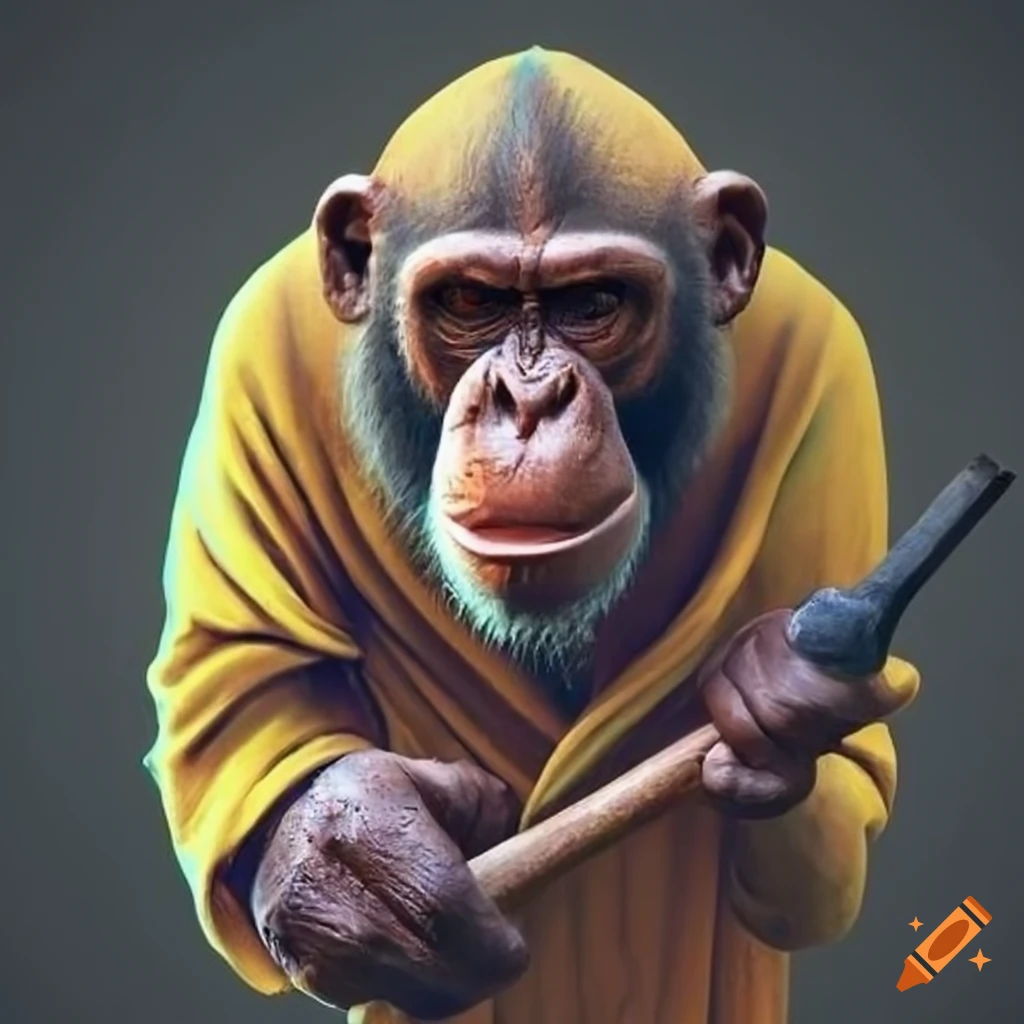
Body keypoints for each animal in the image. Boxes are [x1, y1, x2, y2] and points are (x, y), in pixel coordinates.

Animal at [144, 48, 920, 1024]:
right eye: (470, 298)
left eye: (593, 302)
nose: (529, 397)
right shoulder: (249, 349)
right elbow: (253, 677)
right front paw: (351, 865)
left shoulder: (833, 367)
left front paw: (776, 693)